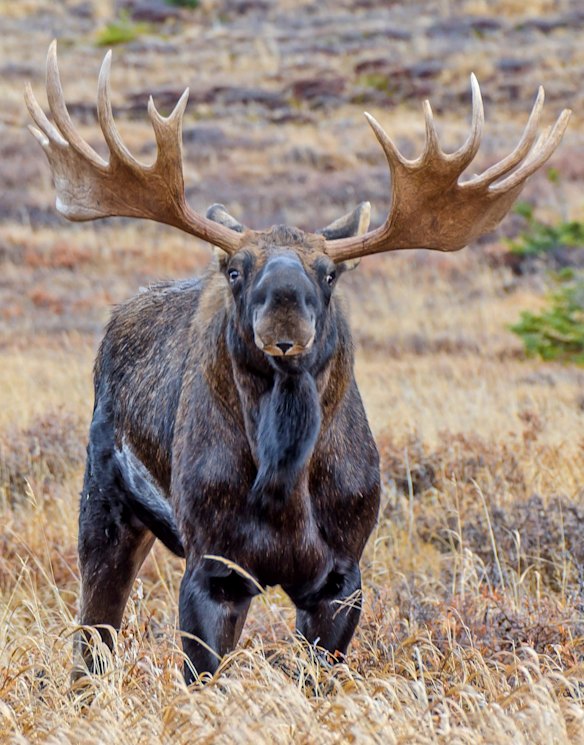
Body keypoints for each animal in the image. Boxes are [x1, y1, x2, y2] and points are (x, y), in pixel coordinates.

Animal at [26, 41, 569, 685]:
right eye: (237, 268)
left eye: (328, 272)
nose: (284, 317)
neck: (283, 480)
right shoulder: (213, 568)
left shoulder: (340, 577)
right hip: (104, 503)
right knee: (92, 642)